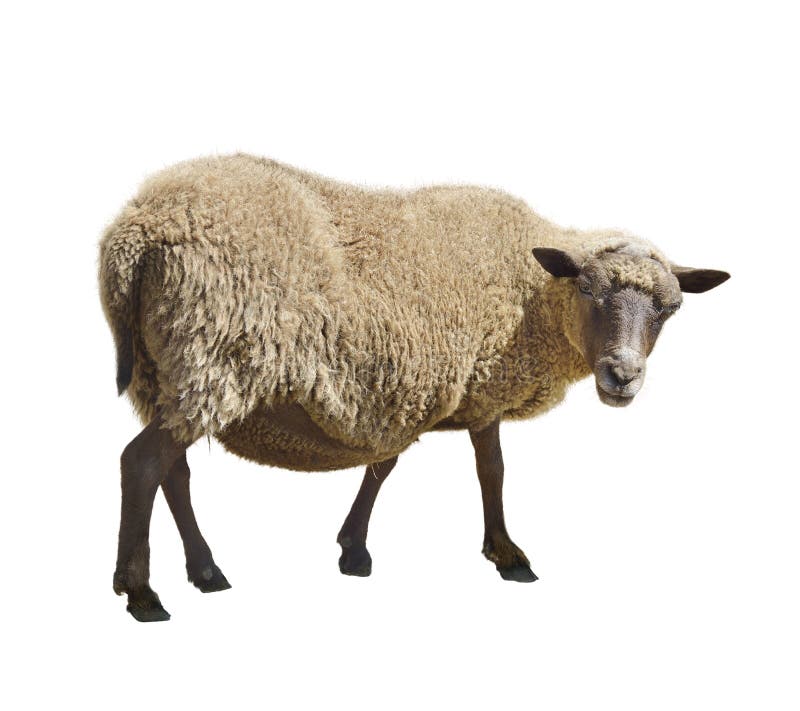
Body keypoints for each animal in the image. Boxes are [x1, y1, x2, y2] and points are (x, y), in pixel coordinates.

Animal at [99, 154, 729, 621]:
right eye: (587, 293)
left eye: (669, 310)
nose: (623, 375)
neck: (532, 291)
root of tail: (136, 232)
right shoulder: (480, 390)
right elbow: (491, 470)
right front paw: (507, 554)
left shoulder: (420, 390)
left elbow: (385, 465)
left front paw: (353, 549)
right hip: (213, 354)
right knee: (142, 464)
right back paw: (142, 593)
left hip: (171, 373)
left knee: (174, 471)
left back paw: (205, 571)